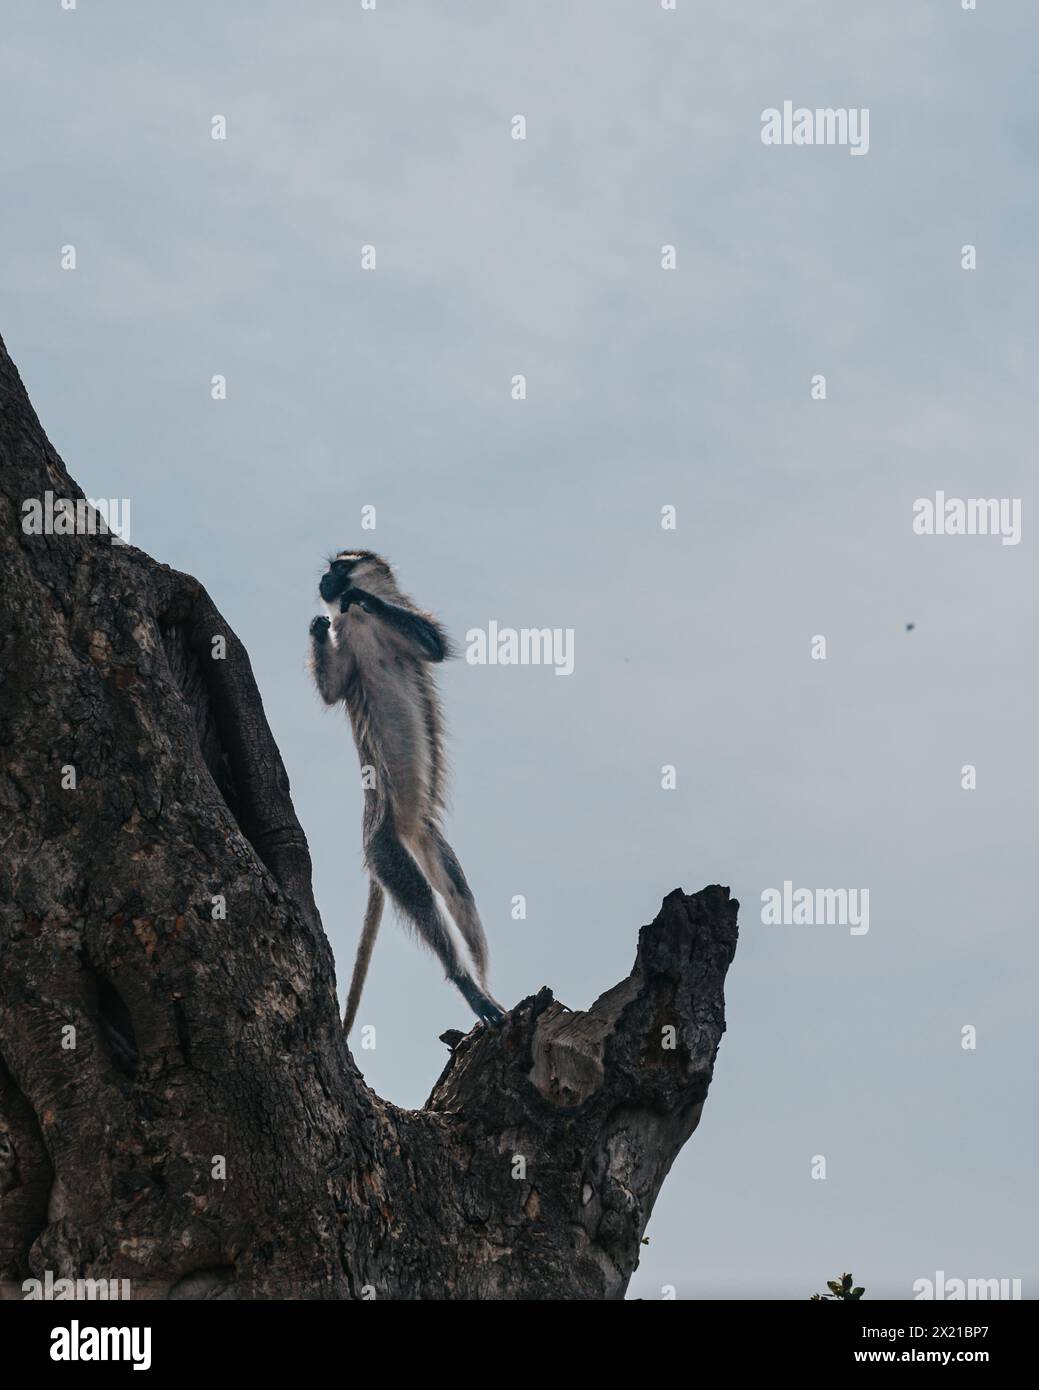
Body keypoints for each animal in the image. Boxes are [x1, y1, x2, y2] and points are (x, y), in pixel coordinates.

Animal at [308, 550, 505, 1033]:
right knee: (422, 900)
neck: (358, 624)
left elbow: (432, 646)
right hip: (382, 844)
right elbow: (333, 690)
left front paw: (363, 599)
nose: (324, 580)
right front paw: (318, 626)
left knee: (458, 896)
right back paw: (468, 986)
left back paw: (481, 986)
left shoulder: (398, 612)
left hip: (422, 835)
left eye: (340, 566)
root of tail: (401, 823)